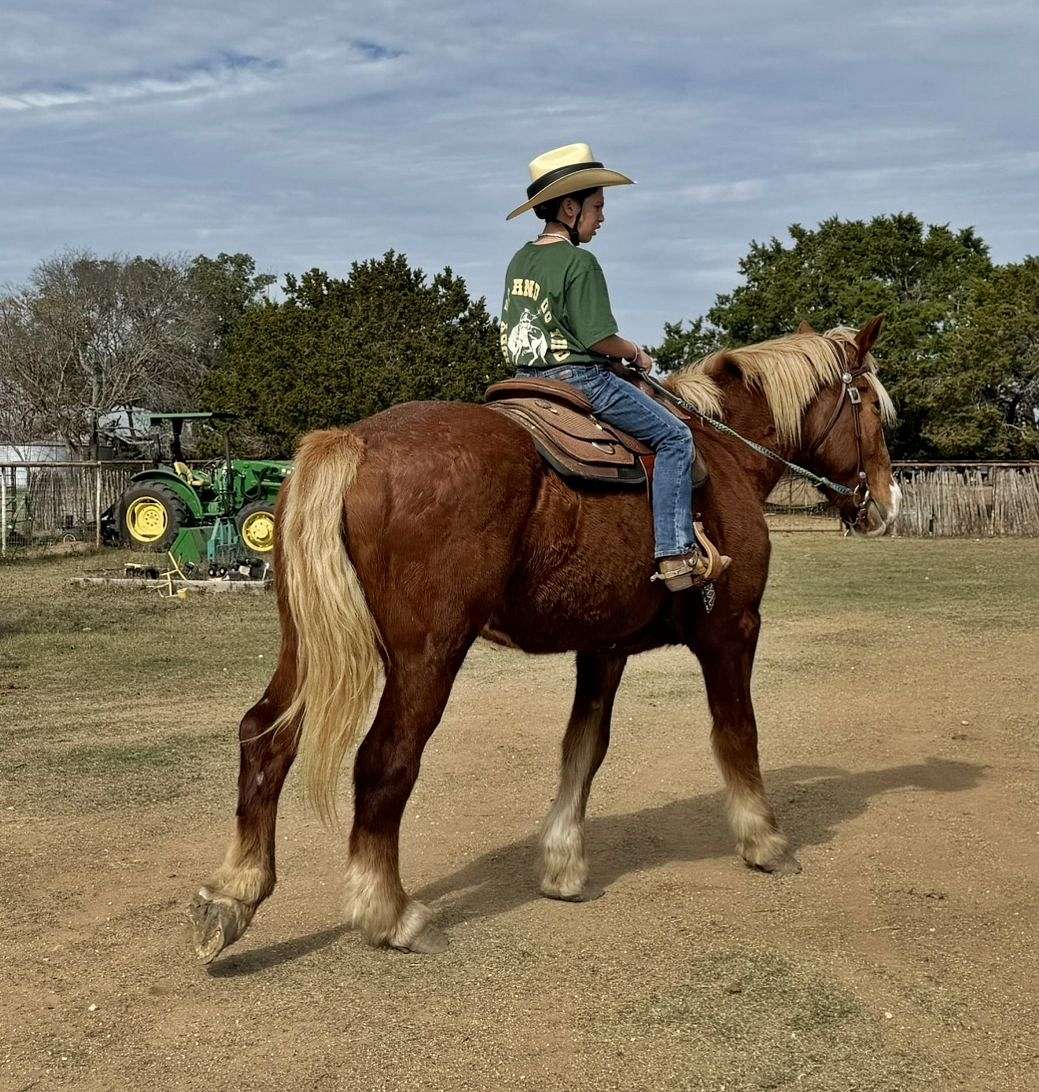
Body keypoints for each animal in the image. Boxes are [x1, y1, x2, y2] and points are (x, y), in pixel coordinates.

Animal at [189, 316, 900, 961]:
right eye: (873, 407)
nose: (885, 504)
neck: (723, 458)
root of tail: (357, 441)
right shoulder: (733, 629)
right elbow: (737, 732)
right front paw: (765, 841)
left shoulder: (604, 647)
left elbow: (584, 747)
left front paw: (562, 865)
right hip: (427, 657)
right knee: (383, 761)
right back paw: (390, 914)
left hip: (305, 648)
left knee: (265, 736)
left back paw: (233, 894)